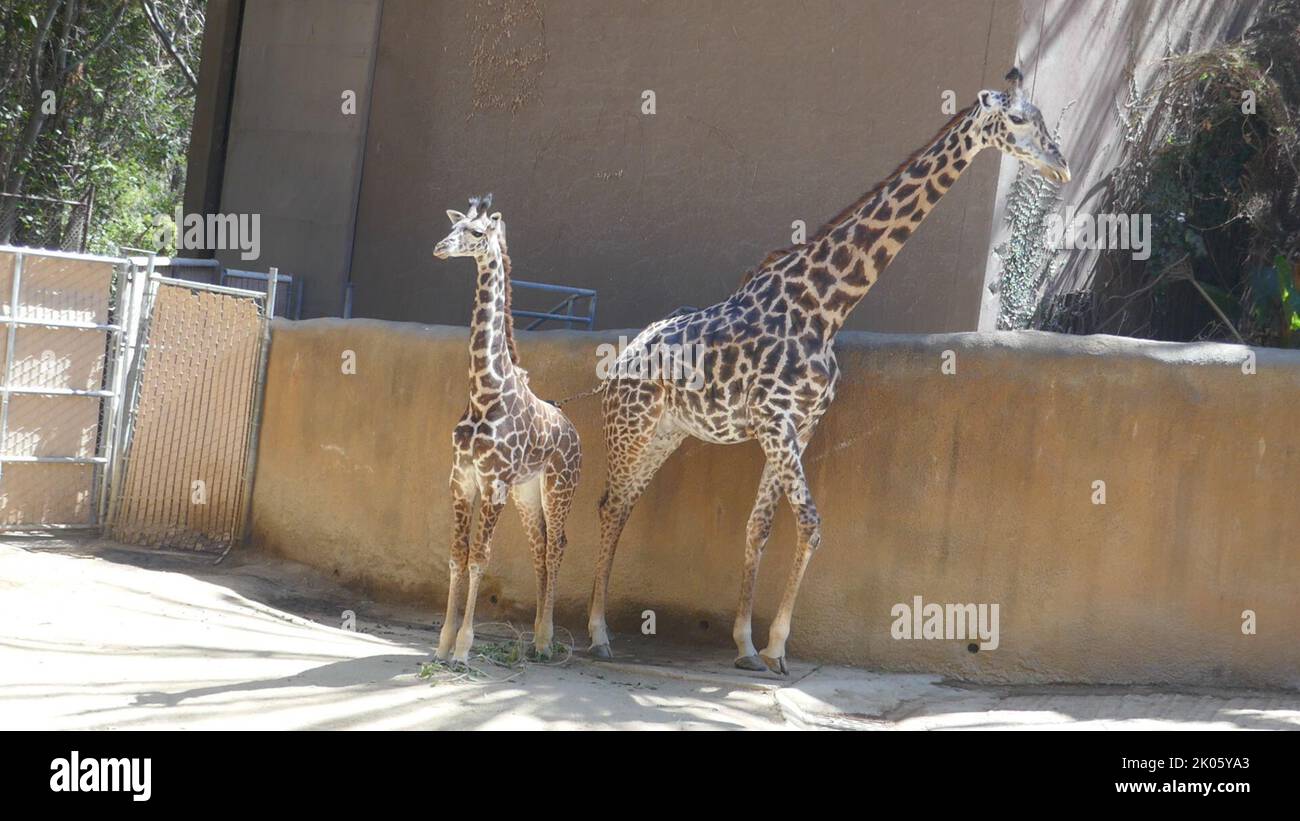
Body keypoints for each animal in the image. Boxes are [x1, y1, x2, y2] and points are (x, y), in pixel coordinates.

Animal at [432, 194, 582, 666]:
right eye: (453, 226)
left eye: (477, 232)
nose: (440, 248)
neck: (484, 391)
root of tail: (574, 432)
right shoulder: (462, 478)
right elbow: (456, 556)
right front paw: (441, 644)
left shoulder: (493, 481)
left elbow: (480, 558)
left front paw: (463, 648)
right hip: (527, 493)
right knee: (539, 550)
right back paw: (534, 639)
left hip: (558, 488)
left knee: (557, 547)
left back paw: (547, 640)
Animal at [587, 68, 1070, 673]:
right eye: (1021, 119)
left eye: (1045, 117)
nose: (1062, 166)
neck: (825, 306)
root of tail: (619, 360)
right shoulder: (775, 421)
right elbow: (812, 525)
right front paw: (777, 648)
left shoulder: (800, 424)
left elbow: (760, 525)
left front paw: (747, 645)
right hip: (630, 427)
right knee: (609, 505)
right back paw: (595, 634)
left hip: (666, 433)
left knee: (624, 505)